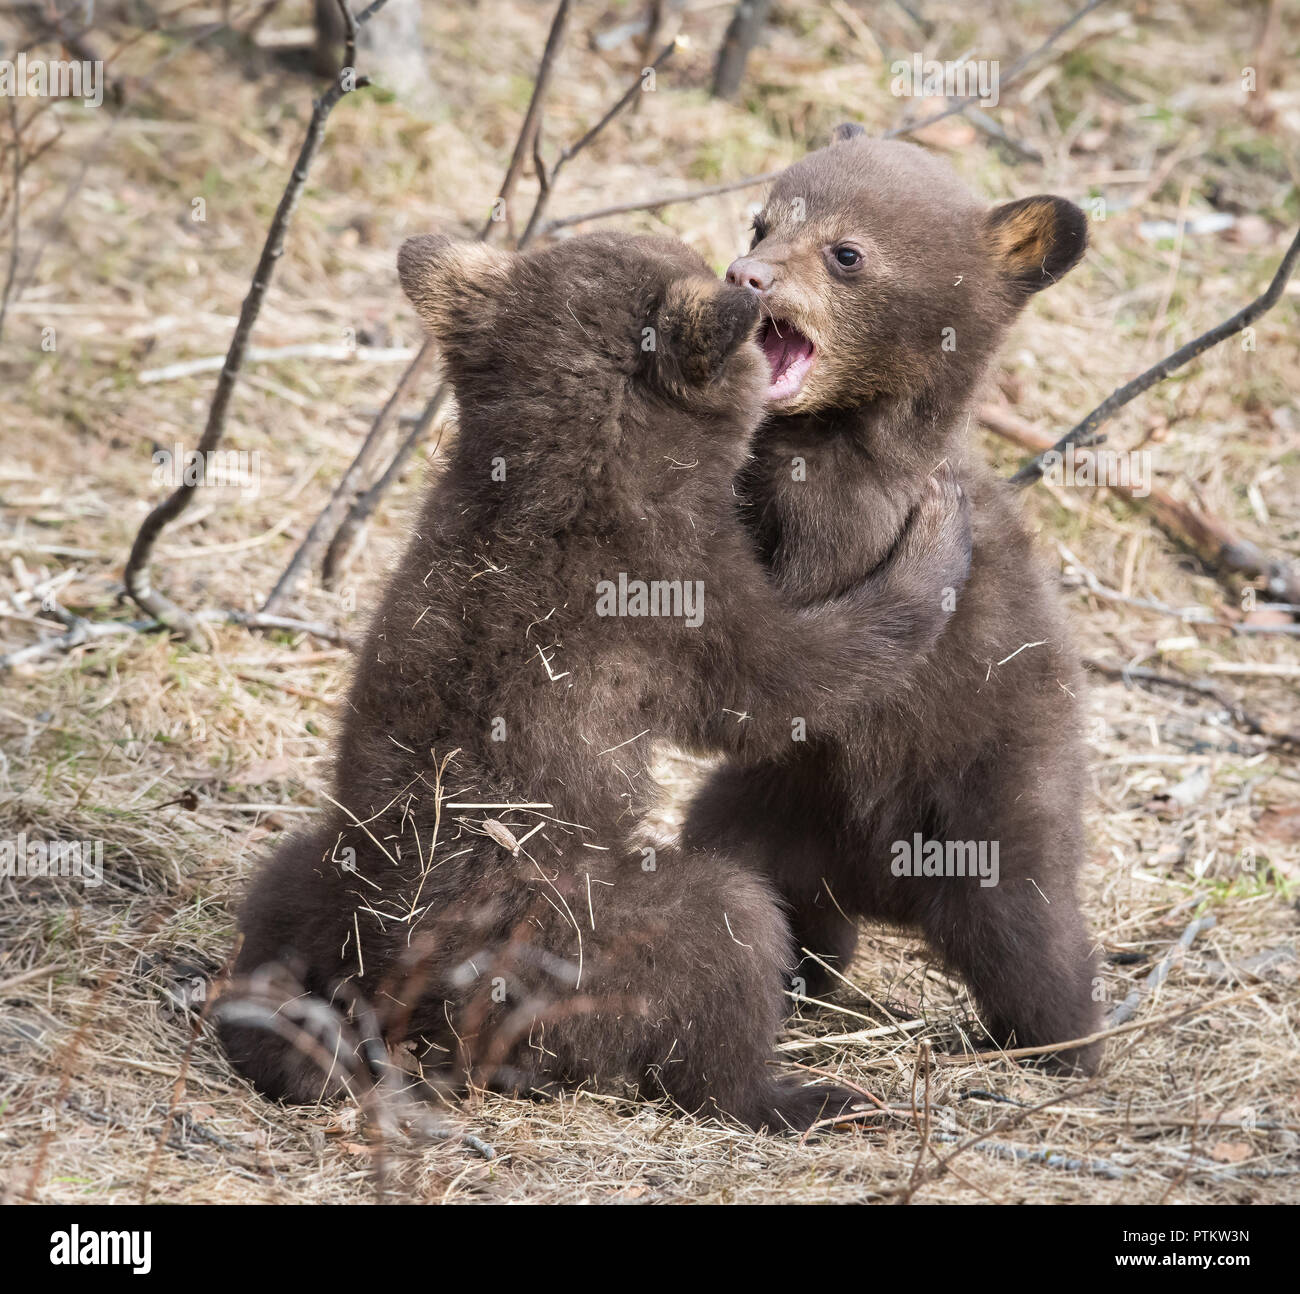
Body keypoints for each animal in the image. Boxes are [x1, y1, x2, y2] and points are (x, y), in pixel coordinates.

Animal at [216, 229, 974, 1131]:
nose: (746, 276)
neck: (571, 465)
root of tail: (394, 988)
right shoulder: (677, 604)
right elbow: (795, 681)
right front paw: (934, 540)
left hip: (325, 874)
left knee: (274, 905)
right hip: (564, 946)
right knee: (725, 931)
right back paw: (802, 1091)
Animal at [681, 127, 1102, 1072]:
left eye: (847, 253)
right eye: (763, 221)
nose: (744, 275)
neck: (840, 439)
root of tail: (882, 889)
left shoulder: (852, 526)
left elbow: (794, 632)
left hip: (993, 810)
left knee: (1031, 939)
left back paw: (1068, 1049)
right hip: (765, 811)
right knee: (747, 869)